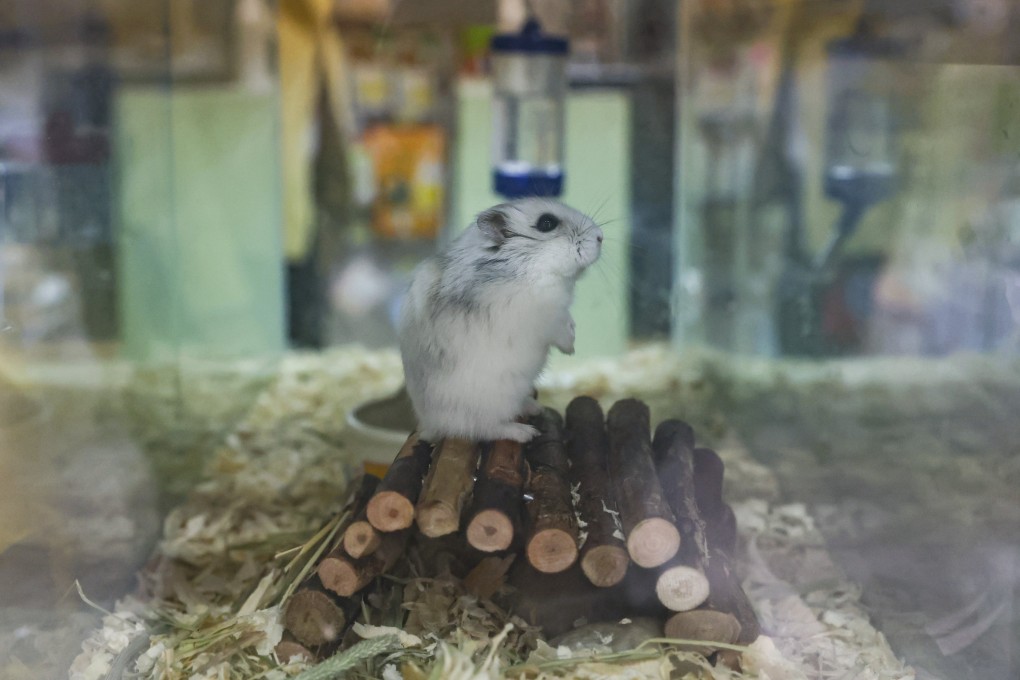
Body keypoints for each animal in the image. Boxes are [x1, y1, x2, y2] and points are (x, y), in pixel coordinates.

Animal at [398, 198, 603, 443]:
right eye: (547, 223)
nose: (600, 236)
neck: (525, 267)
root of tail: (431, 426)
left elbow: (569, 321)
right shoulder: (549, 317)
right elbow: (561, 330)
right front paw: (571, 349)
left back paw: (534, 407)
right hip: (491, 404)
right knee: (484, 428)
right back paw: (526, 432)